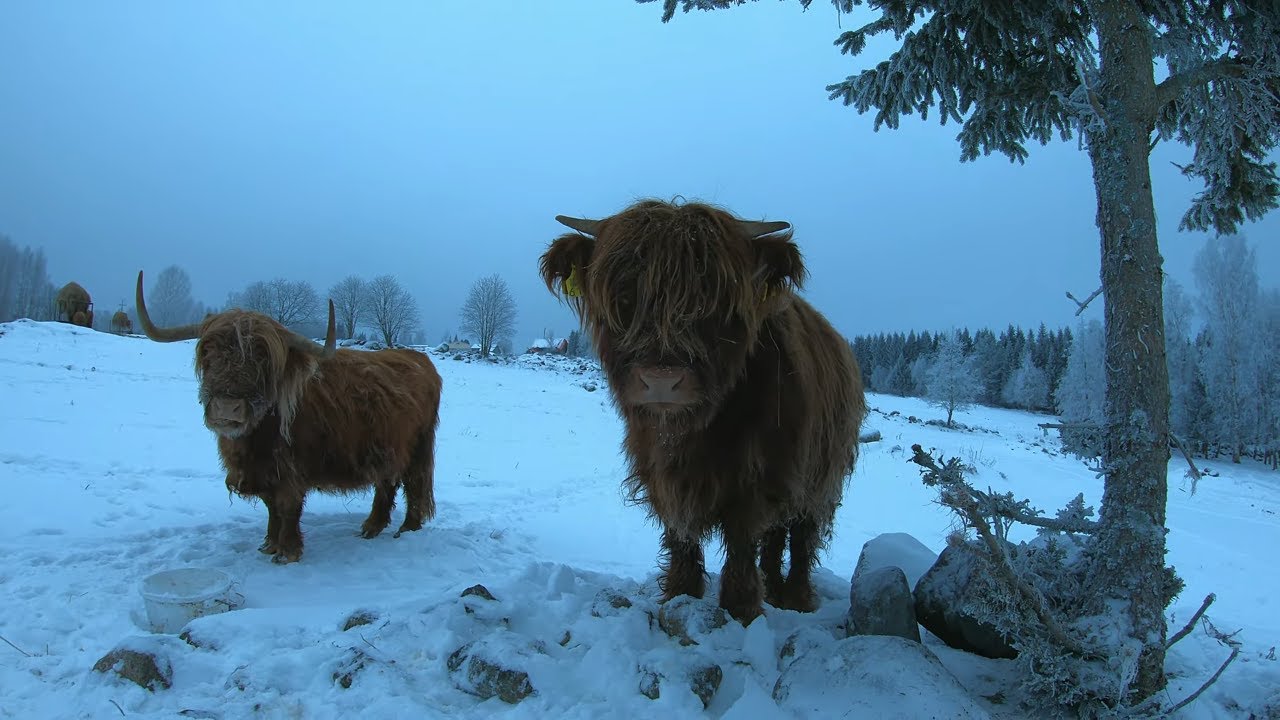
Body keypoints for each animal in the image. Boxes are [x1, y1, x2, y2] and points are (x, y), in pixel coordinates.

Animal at [134, 270, 443, 564]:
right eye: (208, 352)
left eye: (262, 358)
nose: (227, 408)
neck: (255, 437)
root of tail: (419, 360)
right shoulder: (263, 470)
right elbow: (271, 507)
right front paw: (269, 544)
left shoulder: (290, 468)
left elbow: (287, 506)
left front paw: (288, 552)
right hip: (386, 447)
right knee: (387, 481)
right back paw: (372, 527)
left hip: (418, 444)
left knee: (413, 482)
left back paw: (407, 529)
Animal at [538, 199, 867, 624]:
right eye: (624, 296)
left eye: (713, 300)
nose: (661, 379)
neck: (688, 436)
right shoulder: (659, 474)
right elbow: (680, 535)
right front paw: (681, 594)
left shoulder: (759, 478)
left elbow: (742, 541)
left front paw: (742, 609)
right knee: (776, 537)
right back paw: (773, 585)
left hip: (821, 477)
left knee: (801, 536)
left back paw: (794, 597)